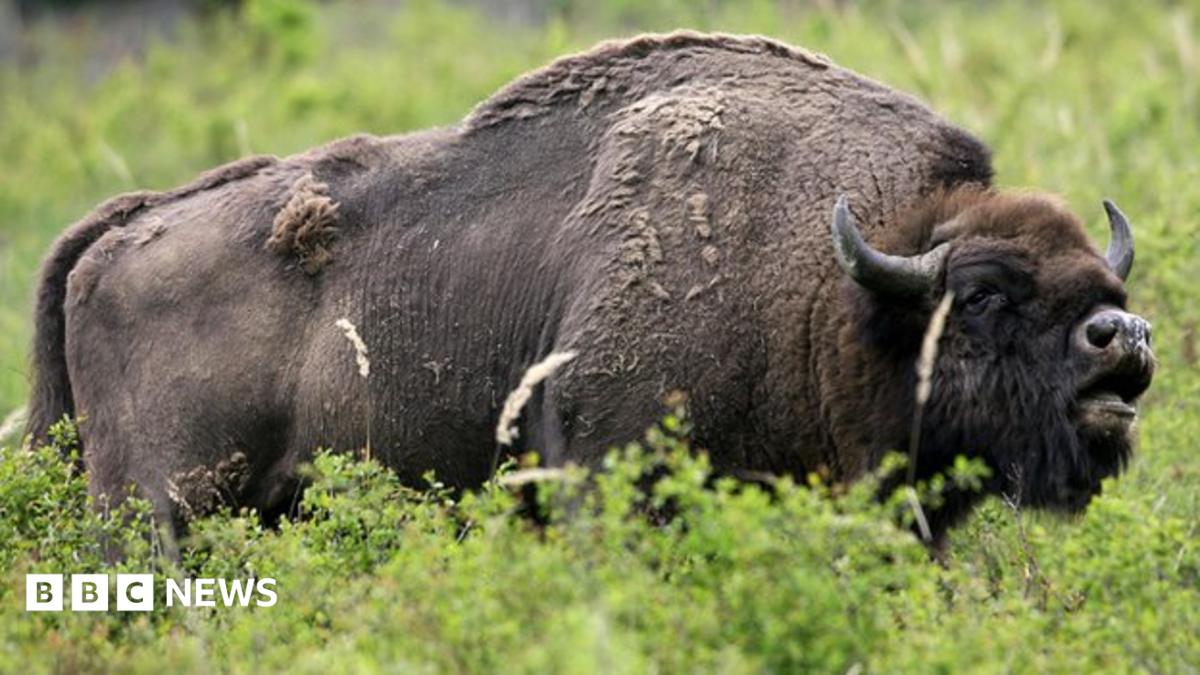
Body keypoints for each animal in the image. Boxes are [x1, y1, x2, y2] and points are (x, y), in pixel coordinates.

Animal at [26, 32, 1154, 545]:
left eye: (1099, 279)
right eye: (987, 296)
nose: (1126, 337)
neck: (829, 283)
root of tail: (117, 233)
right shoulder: (607, 473)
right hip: (159, 507)